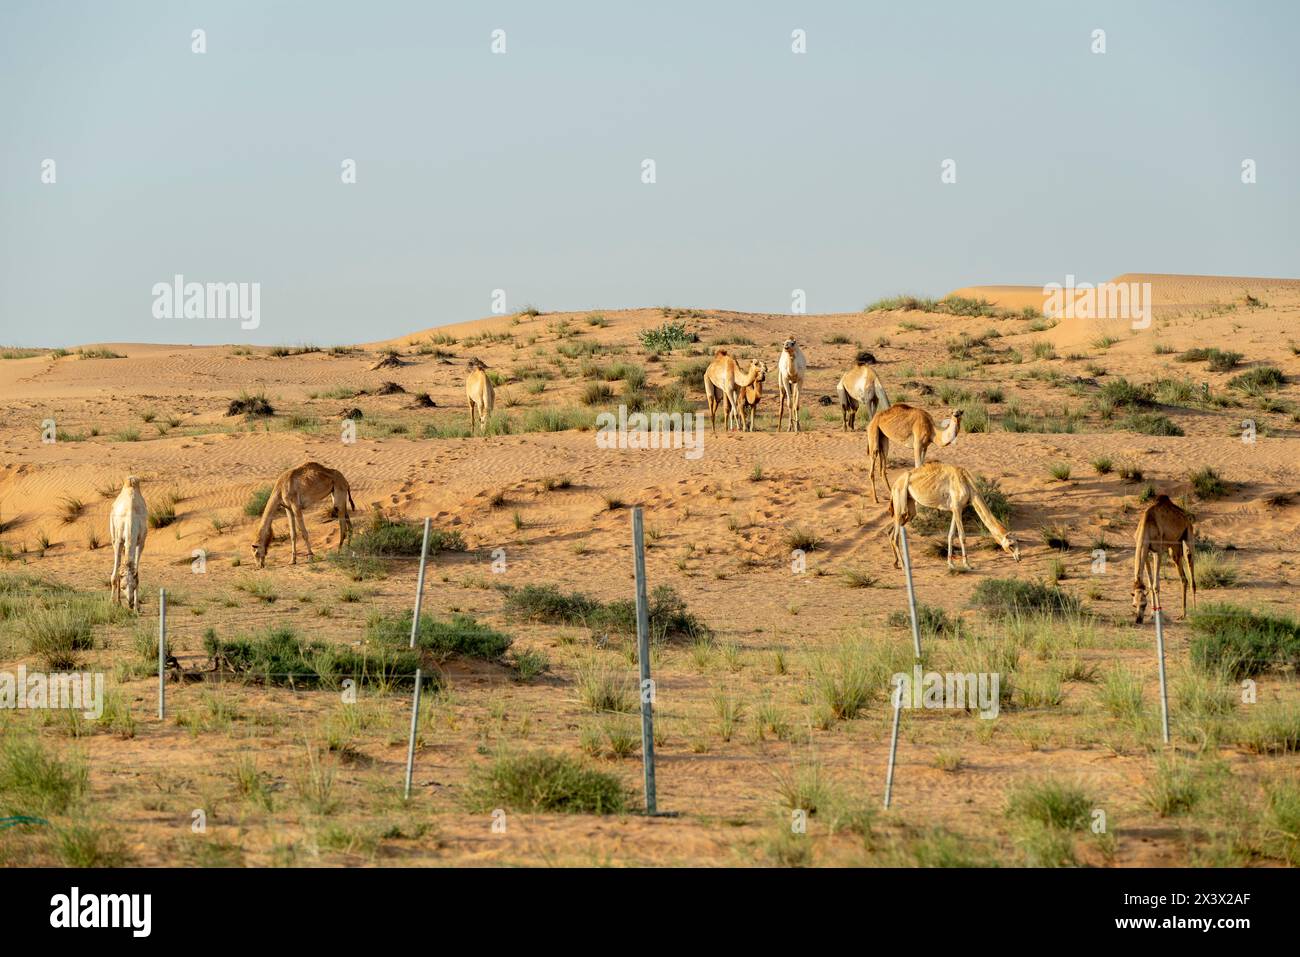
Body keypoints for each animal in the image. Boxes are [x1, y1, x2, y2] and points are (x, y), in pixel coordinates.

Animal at [109, 476, 148, 612]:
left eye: (133, 586)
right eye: (123, 586)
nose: (130, 603)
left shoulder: (140, 542)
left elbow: (138, 575)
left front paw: (137, 607)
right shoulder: (118, 542)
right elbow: (115, 576)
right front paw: (112, 602)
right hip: (113, 535)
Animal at [887, 462, 1021, 570]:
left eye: (1017, 542)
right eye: (1011, 544)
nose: (1019, 557)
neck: (968, 484)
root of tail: (895, 484)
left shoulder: (955, 509)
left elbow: (951, 535)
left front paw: (951, 564)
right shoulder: (957, 507)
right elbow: (962, 536)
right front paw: (967, 564)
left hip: (909, 508)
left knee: (892, 532)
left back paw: (895, 563)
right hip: (900, 500)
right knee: (896, 535)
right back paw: (904, 565)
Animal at [1132, 494, 1197, 624]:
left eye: (1144, 604)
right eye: (1134, 605)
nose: (1138, 620)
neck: (1146, 526)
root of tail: (1186, 517)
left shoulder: (1158, 551)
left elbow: (1156, 586)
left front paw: (1160, 615)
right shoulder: (1146, 551)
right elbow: (1150, 585)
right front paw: (1152, 614)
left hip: (1188, 534)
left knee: (1190, 565)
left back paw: (1196, 612)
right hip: (1175, 547)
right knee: (1183, 579)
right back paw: (1183, 614)